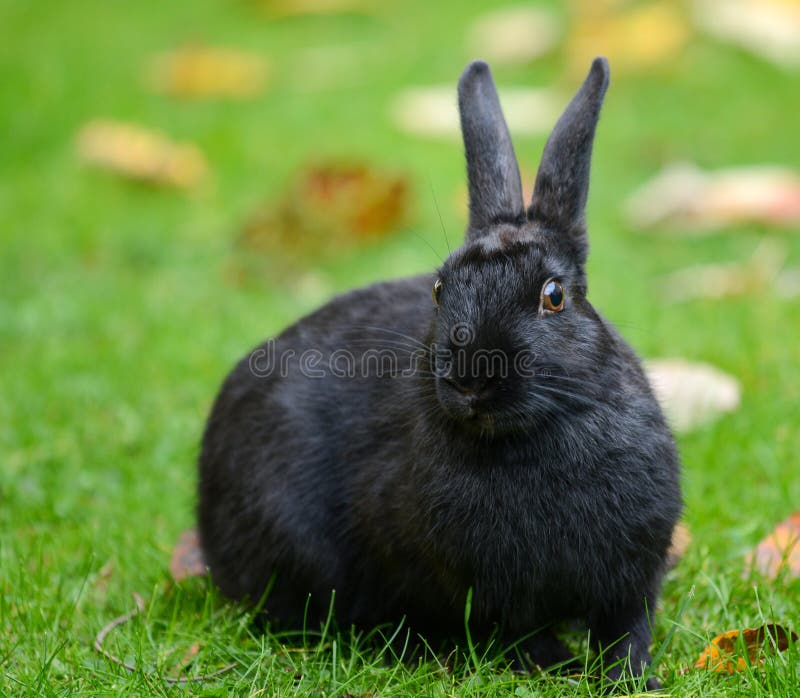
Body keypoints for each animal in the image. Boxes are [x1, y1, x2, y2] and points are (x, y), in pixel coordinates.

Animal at [197, 57, 682, 690]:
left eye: (554, 296)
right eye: (438, 289)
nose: (470, 378)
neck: (528, 439)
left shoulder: (631, 574)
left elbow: (627, 630)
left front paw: (632, 680)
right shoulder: (492, 591)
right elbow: (522, 632)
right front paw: (561, 666)